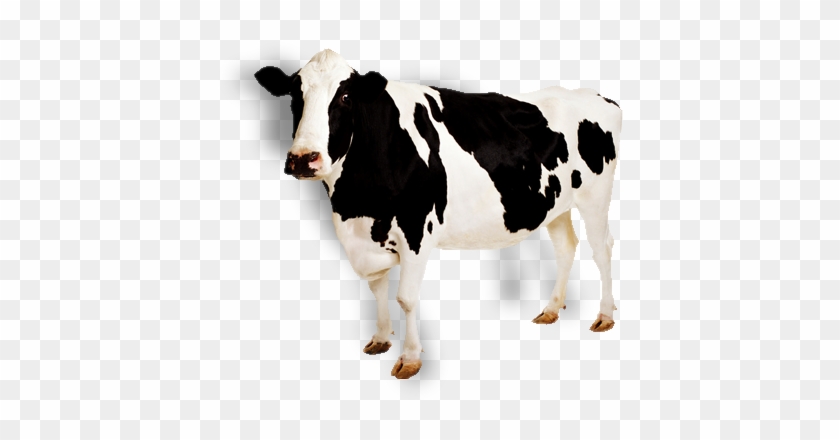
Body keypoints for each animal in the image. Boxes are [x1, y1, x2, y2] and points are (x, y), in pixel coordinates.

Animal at [255, 49, 621, 379]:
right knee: (566, 248)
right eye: (295, 95)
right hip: (555, 204)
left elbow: (405, 298)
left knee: (602, 249)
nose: (303, 158)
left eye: (345, 96)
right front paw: (381, 338)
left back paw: (605, 315)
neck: (355, 201)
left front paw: (410, 359)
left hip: (595, 196)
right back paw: (551, 309)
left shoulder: (416, 230)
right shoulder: (363, 234)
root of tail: (598, 97)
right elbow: (377, 287)